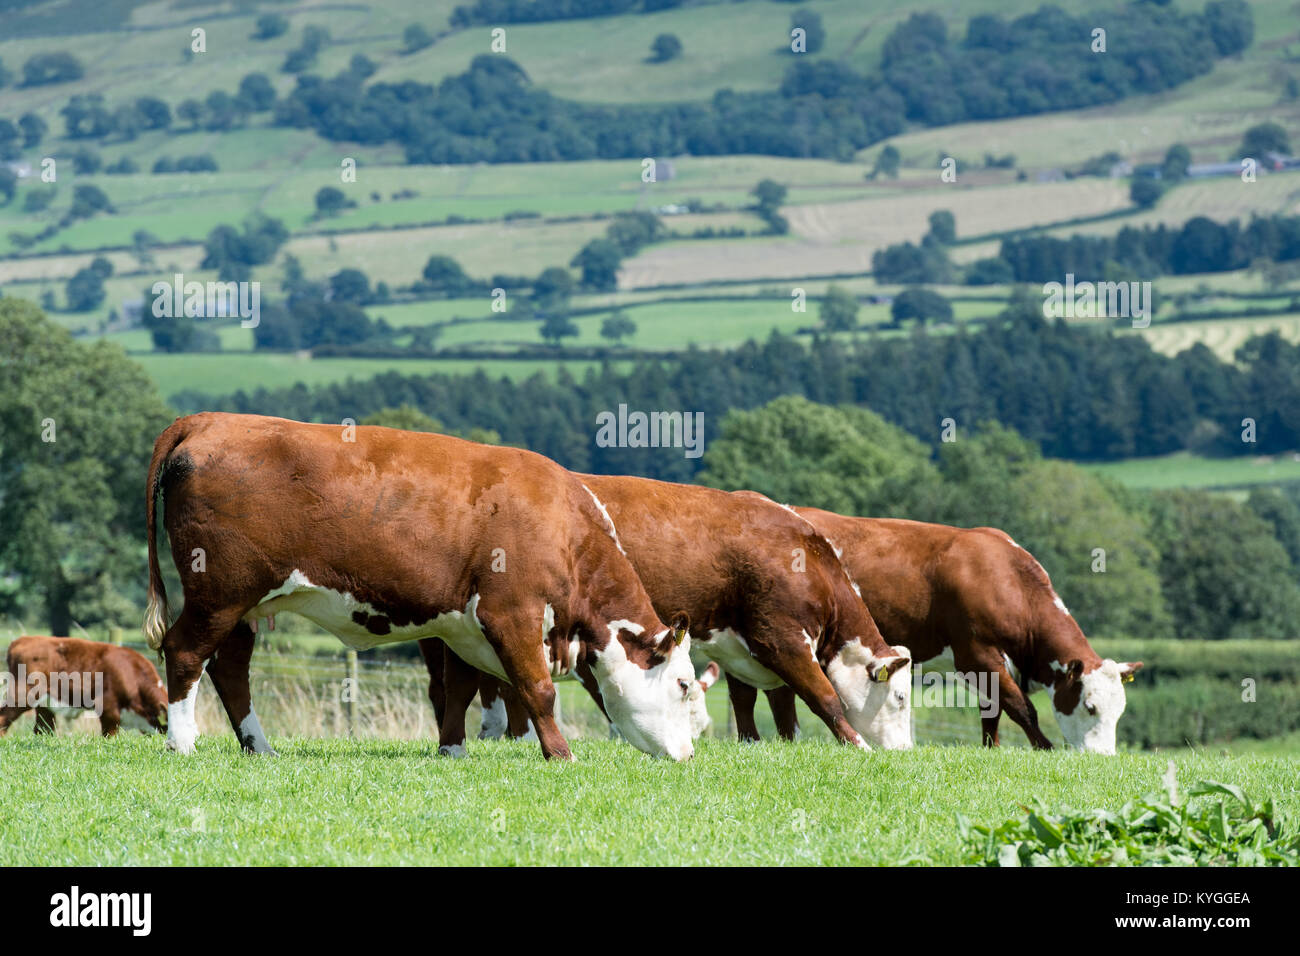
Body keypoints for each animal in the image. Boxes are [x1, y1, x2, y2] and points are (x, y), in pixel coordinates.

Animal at [0, 636, 167, 737]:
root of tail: (22, 640)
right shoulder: (109, 708)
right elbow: (109, 733)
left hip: (44, 703)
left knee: (43, 728)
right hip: (22, 694)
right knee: (4, 717)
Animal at [143, 413, 701, 762]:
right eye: (682, 684)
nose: (690, 755)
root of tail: (209, 420)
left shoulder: (461, 626)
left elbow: (458, 690)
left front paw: (452, 749)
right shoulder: (511, 612)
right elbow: (537, 690)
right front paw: (561, 755)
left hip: (245, 606)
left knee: (230, 669)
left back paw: (260, 746)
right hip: (219, 594)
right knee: (185, 652)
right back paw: (183, 742)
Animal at [426, 476, 913, 754]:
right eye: (901, 698)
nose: (905, 751)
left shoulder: (740, 645)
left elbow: (751, 700)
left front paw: (757, 744)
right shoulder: (782, 637)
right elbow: (823, 696)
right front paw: (857, 745)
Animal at [729, 512, 1142, 754]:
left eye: (1120, 710)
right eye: (1090, 706)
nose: (1104, 756)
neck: (1008, 579)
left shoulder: (987, 665)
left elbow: (992, 709)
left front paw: (990, 749)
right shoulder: (977, 653)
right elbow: (1020, 707)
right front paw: (1044, 747)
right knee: (774, 690)